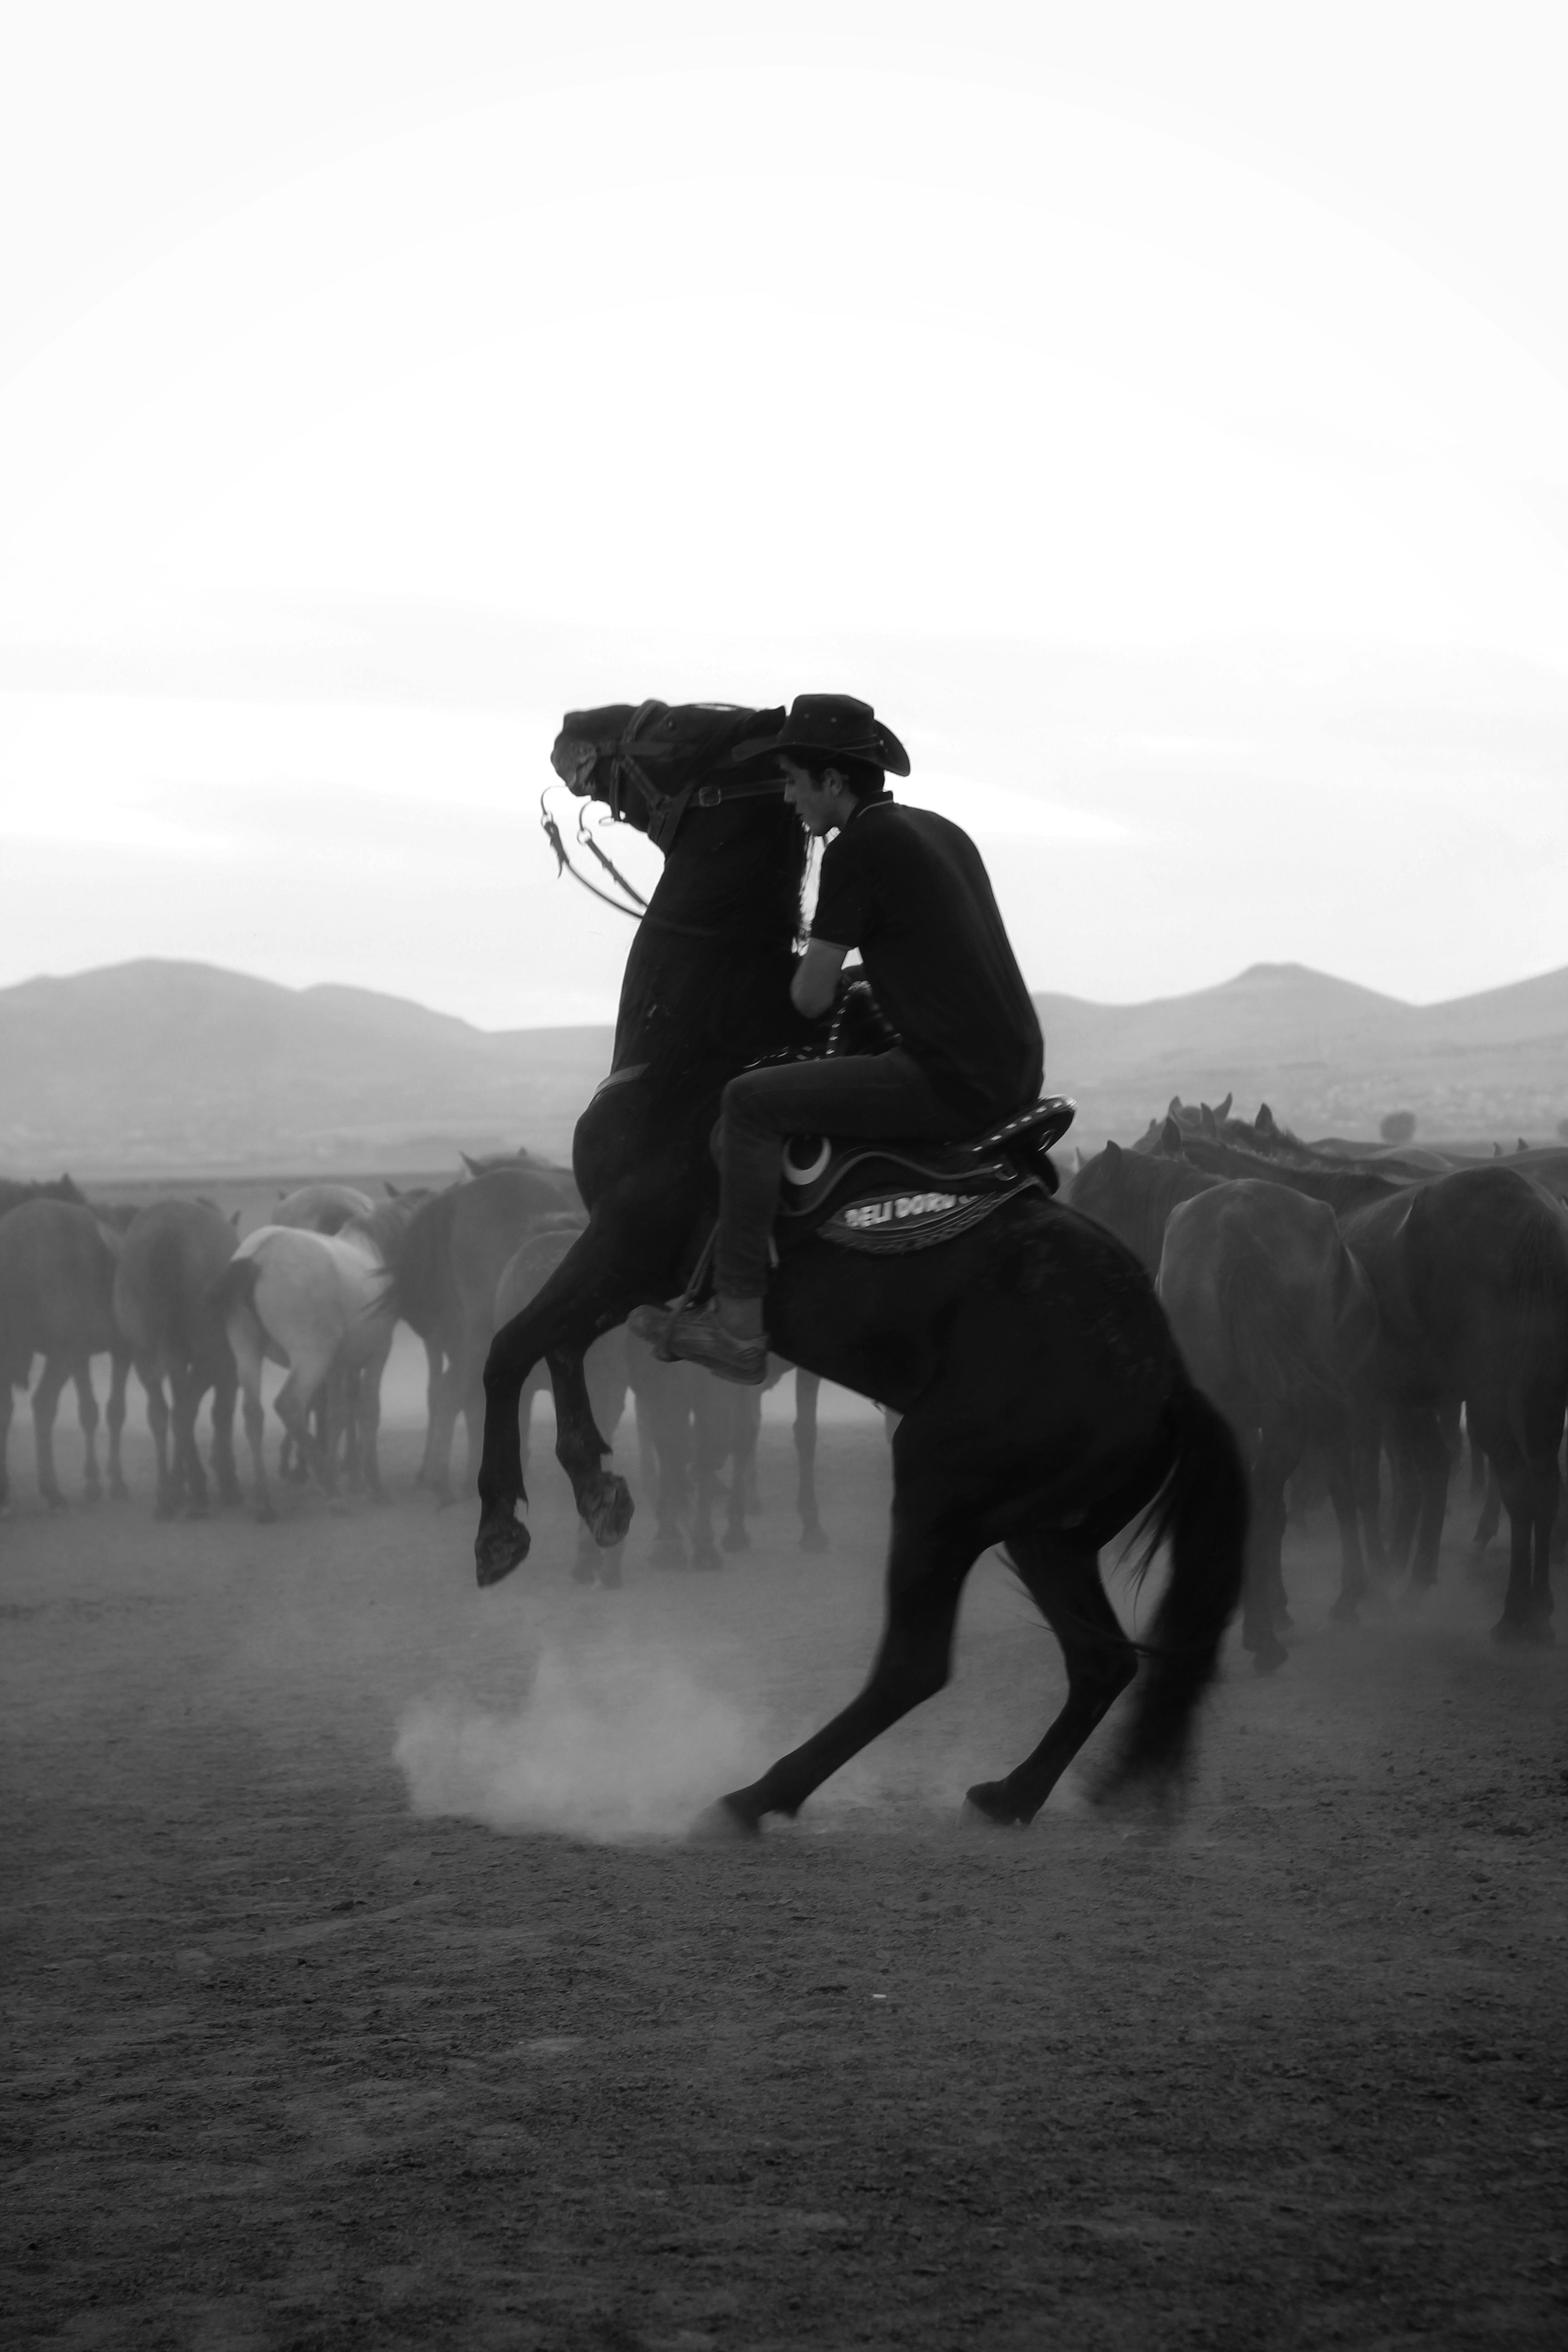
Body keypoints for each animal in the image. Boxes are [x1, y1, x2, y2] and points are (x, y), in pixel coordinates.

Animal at [0, 1200, 130, 1510]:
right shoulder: (120, 1351)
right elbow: (116, 1410)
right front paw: (116, 1481)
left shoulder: (81, 1356)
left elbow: (89, 1411)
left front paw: (94, 1482)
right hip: (61, 1354)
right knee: (43, 1403)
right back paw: (51, 1489)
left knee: (5, 1408)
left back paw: (6, 1487)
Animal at [112, 1200, 242, 1517]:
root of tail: (166, 1236)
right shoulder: (223, 1364)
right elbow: (220, 1412)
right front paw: (224, 1475)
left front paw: (178, 1482)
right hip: (206, 1351)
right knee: (185, 1412)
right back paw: (198, 1487)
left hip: (144, 1351)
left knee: (161, 1414)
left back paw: (166, 1495)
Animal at [473, 700, 1247, 1836]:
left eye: (680, 724)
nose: (579, 722)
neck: (694, 1045)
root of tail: (1169, 1383)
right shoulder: (629, 1266)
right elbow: (562, 1349)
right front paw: (600, 1489)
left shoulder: (623, 1241)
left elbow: (512, 1347)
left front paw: (501, 1528)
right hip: (1043, 1530)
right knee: (1102, 1660)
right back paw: (1008, 1796)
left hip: (939, 1486)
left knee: (916, 1666)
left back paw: (757, 1795)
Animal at [1338, 1165, 1568, 1640]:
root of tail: (1535, 1214)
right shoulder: (1407, 1402)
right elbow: (1419, 1474)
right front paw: (1401, 1570)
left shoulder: (1359, 1399)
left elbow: (1366, 1484)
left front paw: (1369, 1583)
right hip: (1543, 1397)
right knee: (1544, 1483)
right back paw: (1540, 1607)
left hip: (1489, 1400)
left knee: (1518, 1484)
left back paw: (1514, 1613)